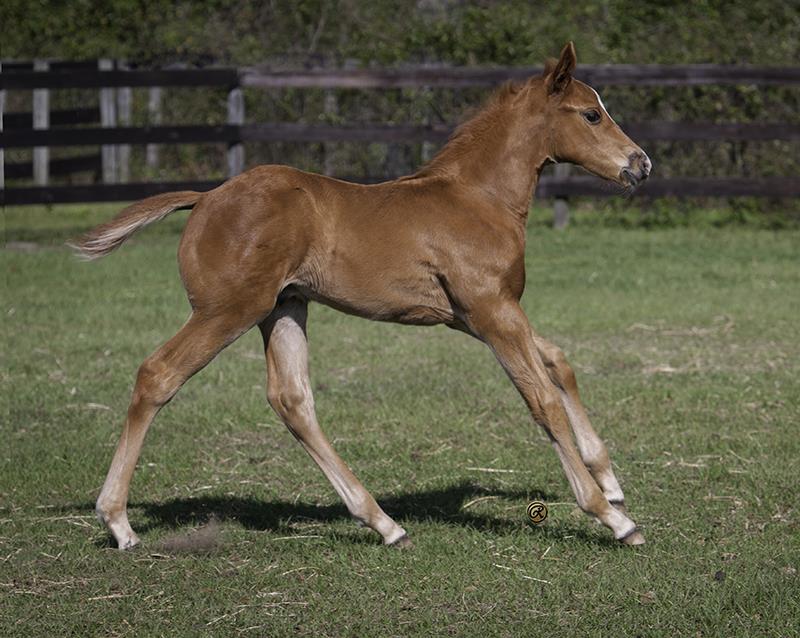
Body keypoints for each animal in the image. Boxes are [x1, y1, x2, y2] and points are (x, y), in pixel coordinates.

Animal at [72, 42, 651, 550]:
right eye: (591, 115)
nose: (641, 164)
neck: (477, 197)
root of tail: (206, 197)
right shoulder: (490, 311)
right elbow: (542, 399)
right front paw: (610, 517)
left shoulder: (475, 314)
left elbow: (558, 363)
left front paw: (612, 483)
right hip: (228, 310)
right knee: (159, 374)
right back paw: (118, 523)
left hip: (284, 308)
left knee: (292, 399)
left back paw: (384, 523)